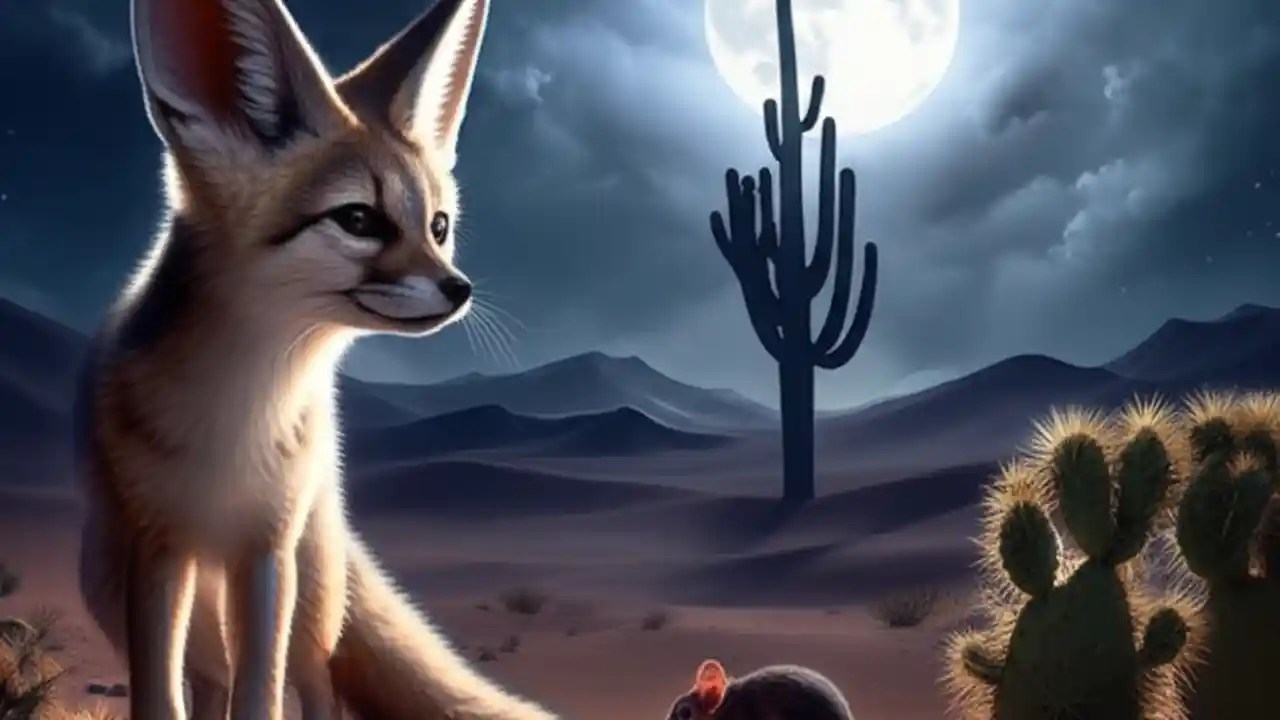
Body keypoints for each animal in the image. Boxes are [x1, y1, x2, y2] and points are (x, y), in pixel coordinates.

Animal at [73, 0, 558, 719]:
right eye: (358, 219)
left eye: (438, 227)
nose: (458, 288)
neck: (237, 419)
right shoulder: (156, 547)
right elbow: (161, 693)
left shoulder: (268, 549)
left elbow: (261, 690)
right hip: (108, 583)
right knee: (210, 675)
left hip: (308, 596)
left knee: (312, 677)